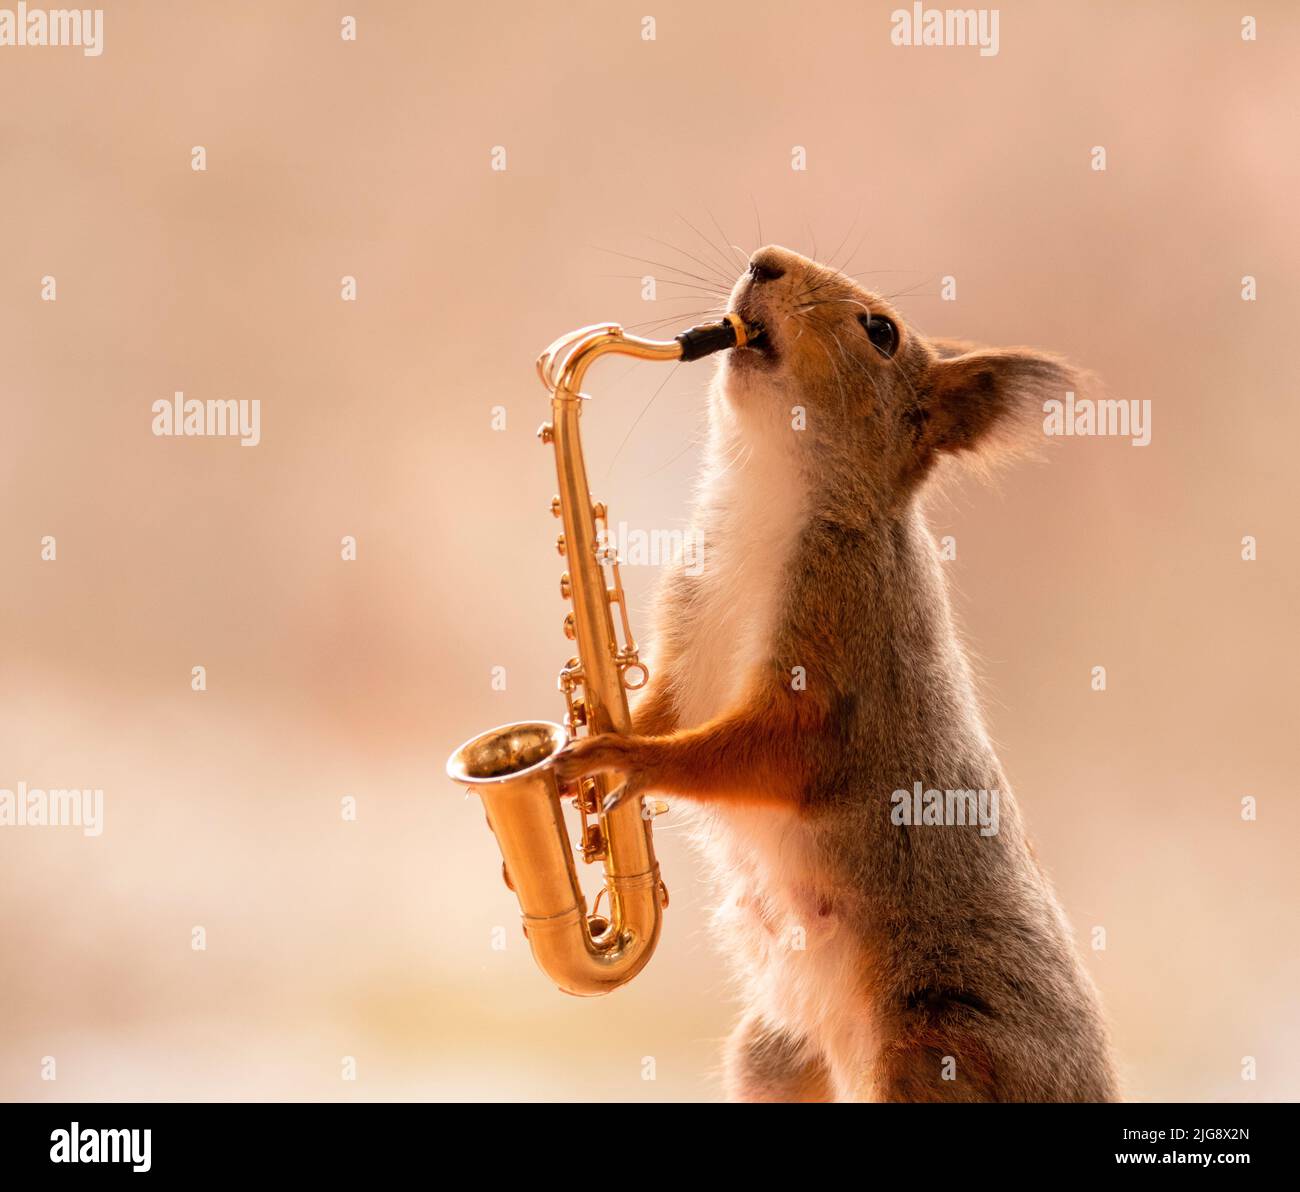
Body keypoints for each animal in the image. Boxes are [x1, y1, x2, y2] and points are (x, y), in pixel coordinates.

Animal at [556, 245, 1119, 1103]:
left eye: (880, 332)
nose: (764, 261)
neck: (765, 493)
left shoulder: (844, 650)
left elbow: (767, 750)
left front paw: (627, 759)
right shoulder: (686, 633)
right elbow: (658, 707)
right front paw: (575, 746)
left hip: (937, 1045)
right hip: (772, 1053)